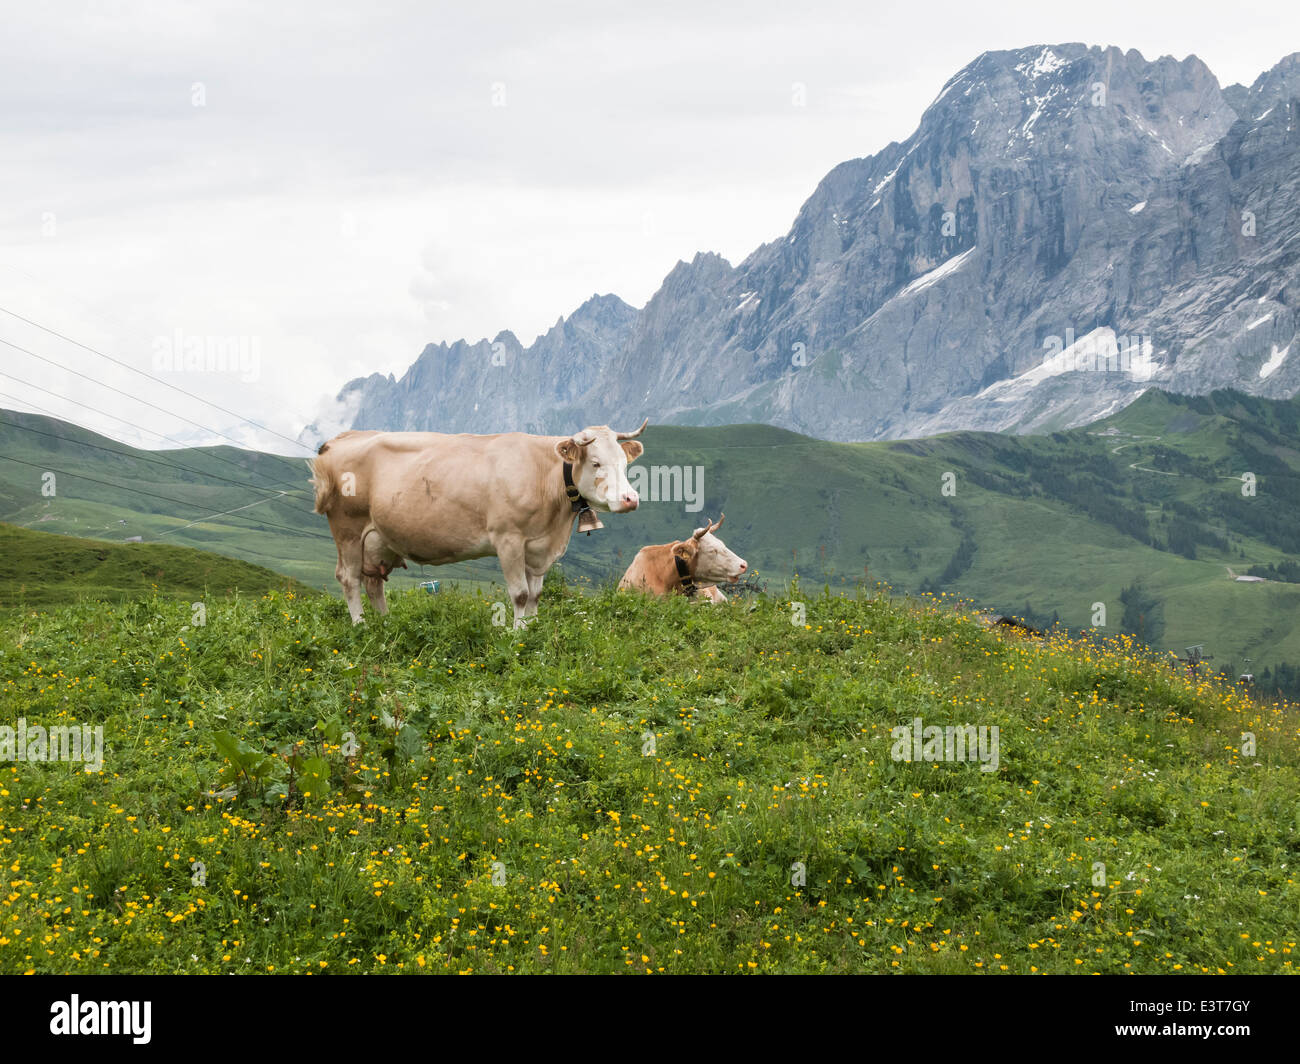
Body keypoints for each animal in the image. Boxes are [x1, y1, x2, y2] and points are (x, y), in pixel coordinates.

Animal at [309, 420, 647, 627]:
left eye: (623, 462)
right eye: (596, 463)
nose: (630, 499)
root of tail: (341, 438)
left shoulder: (539, 547)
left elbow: (535, 594)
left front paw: (532, 629)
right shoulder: (508, 539)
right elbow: (520, 593)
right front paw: (517, 635)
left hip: (377, 539)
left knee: (373, 582)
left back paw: (386, 623)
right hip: (348, 529)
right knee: (349, 578)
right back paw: (361, 625)